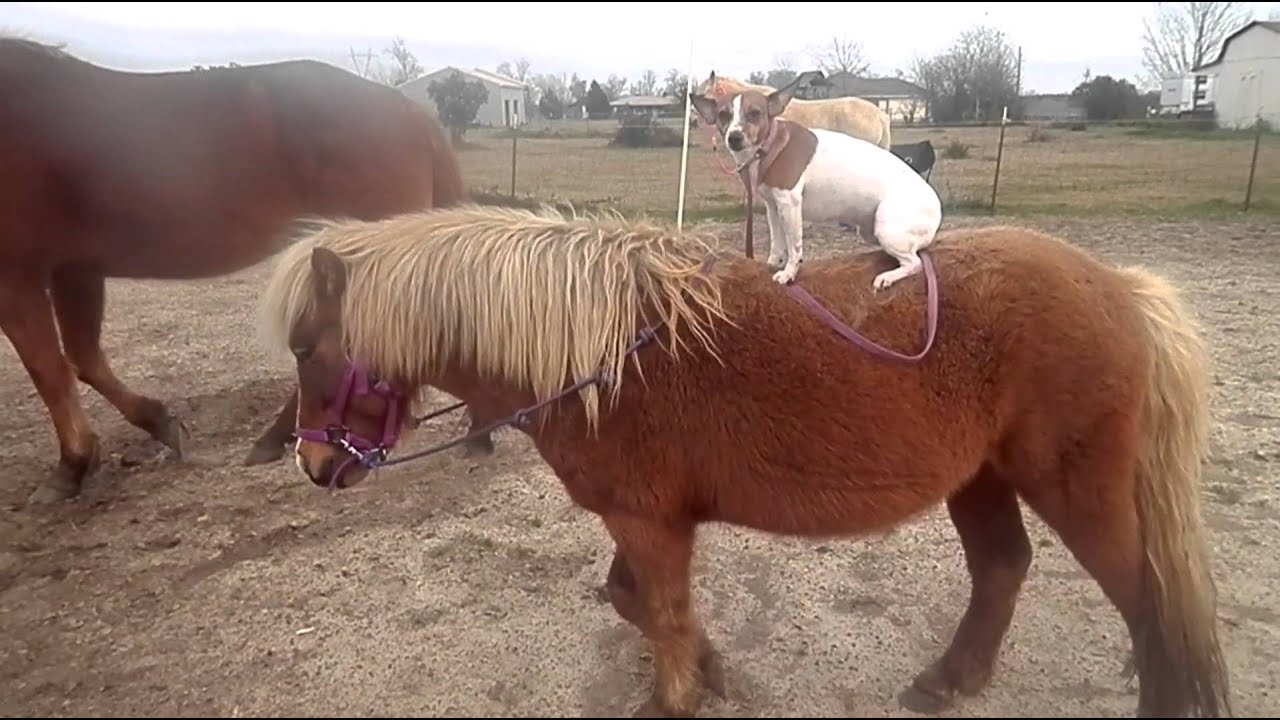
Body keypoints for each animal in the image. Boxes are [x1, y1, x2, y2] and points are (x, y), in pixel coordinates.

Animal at [0, 36, 494, 504]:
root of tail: (409, 112)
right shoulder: (75, 268)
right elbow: (83, 359)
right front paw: (158, 424)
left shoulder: (19, 276)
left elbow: (49, 370)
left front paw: (72, 465)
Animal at [258, 203, 1232, 718]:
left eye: (306, 348)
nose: (312, 463)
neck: (606, 349)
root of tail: (1118, 288)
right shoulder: (646, 522)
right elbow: (635, 603)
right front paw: (713, 666)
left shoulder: (647, 523)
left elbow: (657, 613)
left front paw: (679, 691)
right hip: (982, 480)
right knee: (1003, 568)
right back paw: (949, 680)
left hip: (1076, 487)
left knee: (1147, 602)